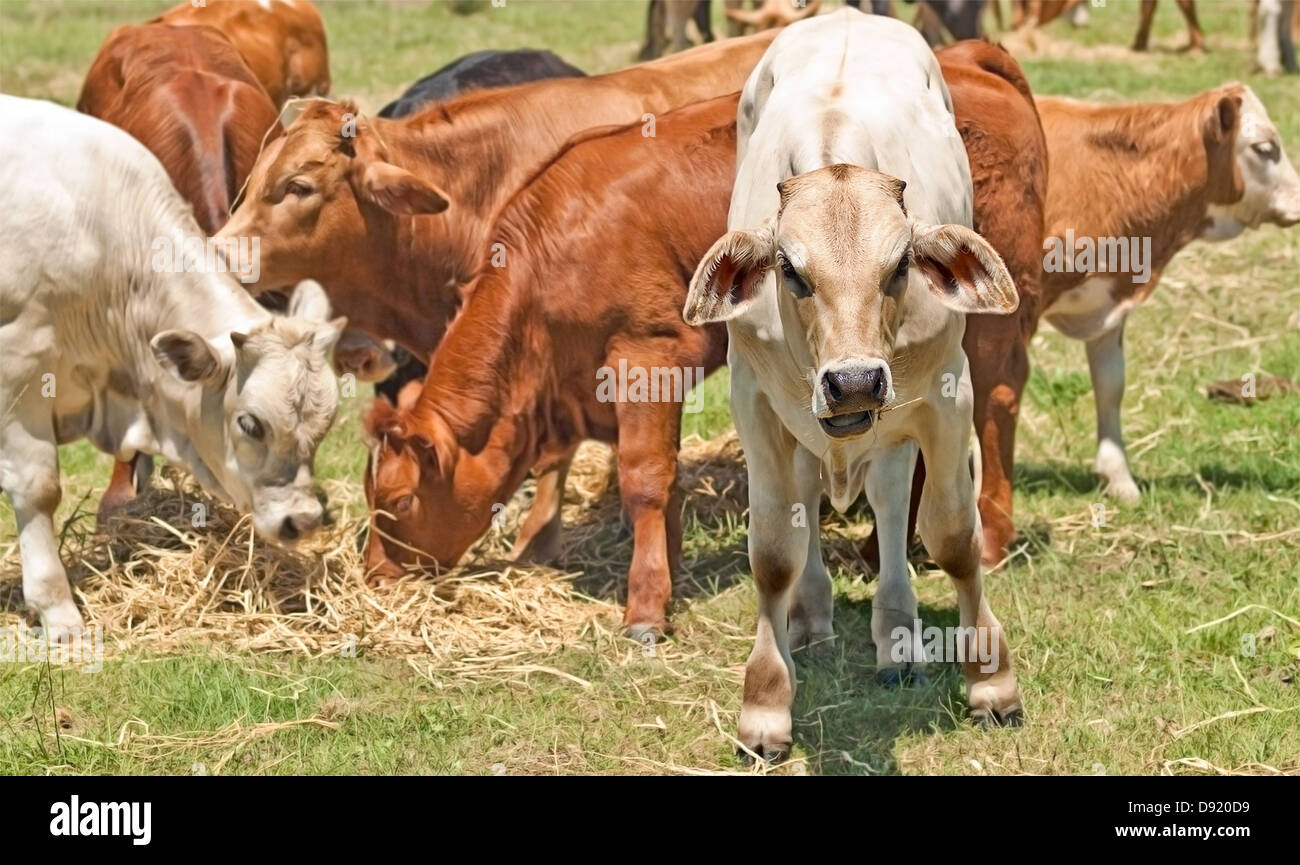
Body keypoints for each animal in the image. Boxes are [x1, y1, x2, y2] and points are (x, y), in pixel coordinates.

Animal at [0, 96, 344, 638]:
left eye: (326, 424)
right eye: (251, 423)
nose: (302, 521)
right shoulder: (19, 367)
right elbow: (39, 487)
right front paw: (57, 611)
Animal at [682, 8, 1022, 760]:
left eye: (899, 266)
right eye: (790, 269)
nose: (856, 380)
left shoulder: (948, 395)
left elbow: (954, 536)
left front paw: (992, 681)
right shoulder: (756, 403)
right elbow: (773, 552)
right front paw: (765, 706)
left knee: (892, 500)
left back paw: (895, 639)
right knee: (811, 496)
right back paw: (809, 617)